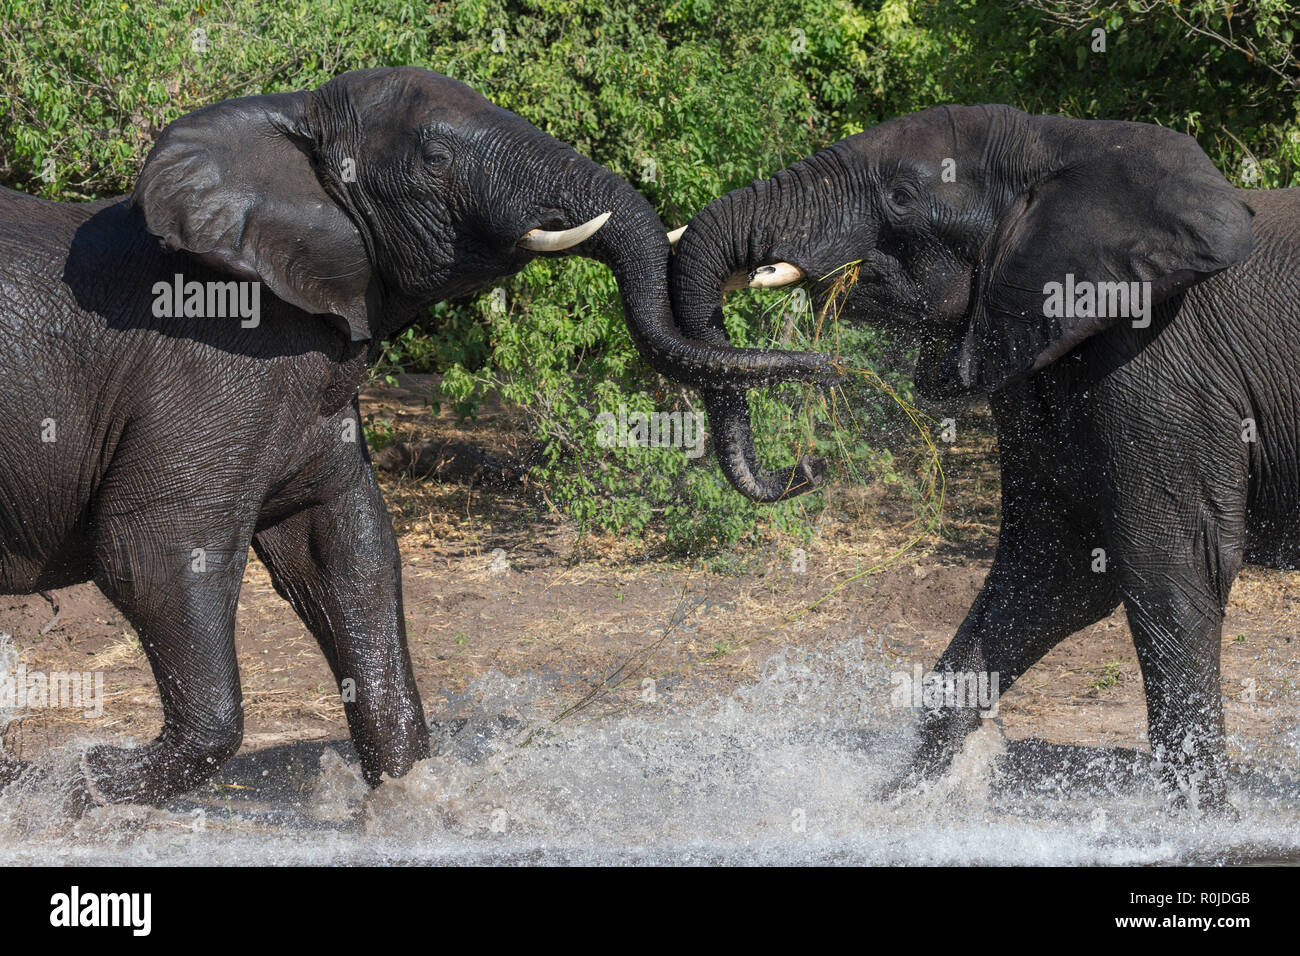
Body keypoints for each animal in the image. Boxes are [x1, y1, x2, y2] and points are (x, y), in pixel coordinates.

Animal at [0, 66, 833, 806]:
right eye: (436, 161)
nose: (807, 467)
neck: (293, 116)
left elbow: (348, 551)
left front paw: (408, 802)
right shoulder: (211, 365)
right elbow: (155, 553)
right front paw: (75, 781)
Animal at [668, 103, 1298, 812]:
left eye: (901, 197)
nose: (807, 469)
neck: (1057, 140)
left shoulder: (1157, 363)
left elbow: (1173, 565)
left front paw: (1200, 818)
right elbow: (1056, 570)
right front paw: (900, 798)